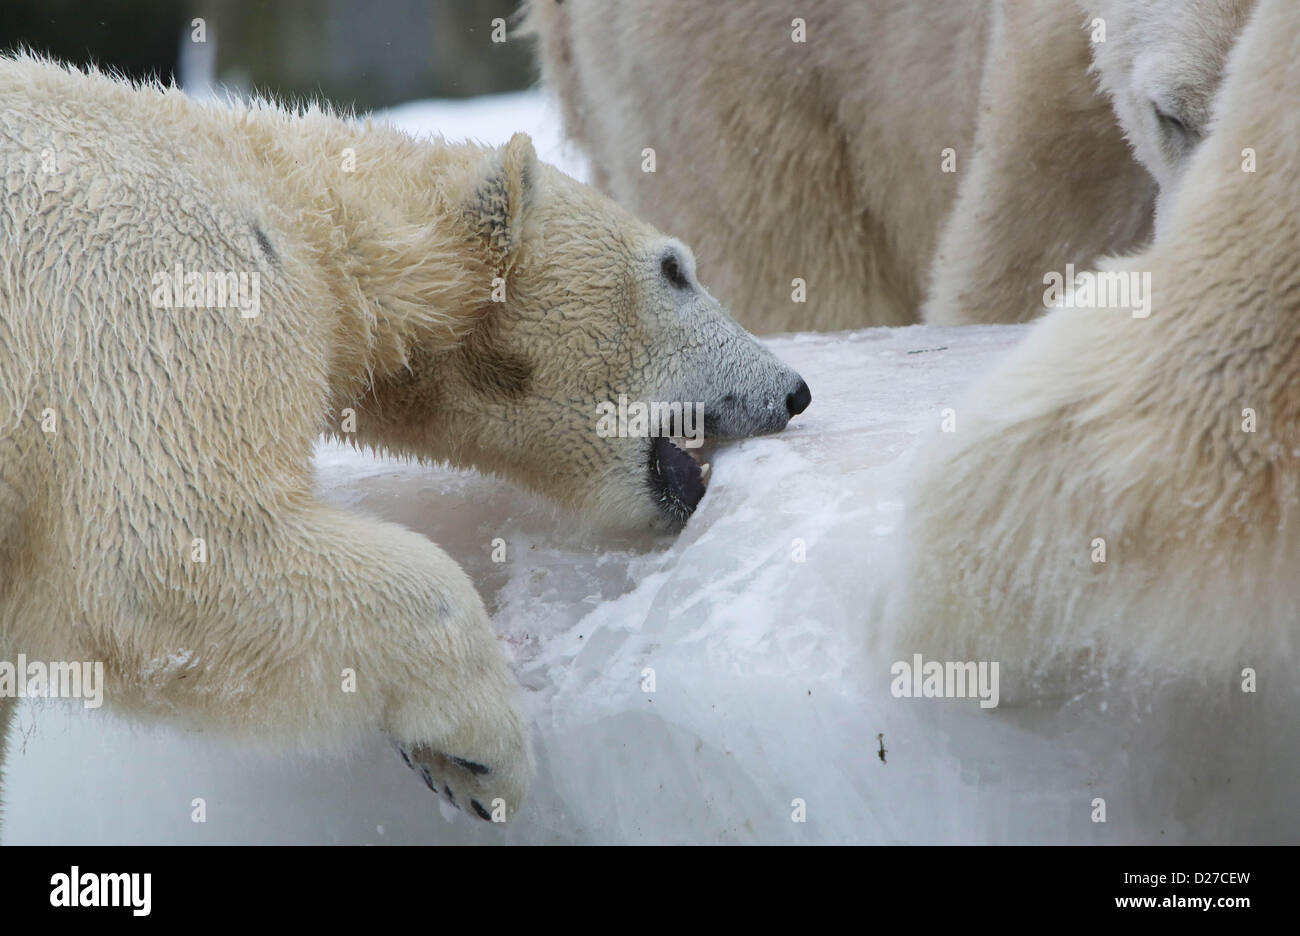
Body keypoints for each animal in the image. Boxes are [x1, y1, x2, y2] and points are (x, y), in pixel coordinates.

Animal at [0, 55, 810, 827]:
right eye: (675, 270)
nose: (793, 390)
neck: (313, 219)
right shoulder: (162, 281)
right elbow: (173, 553)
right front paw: (483, 753)